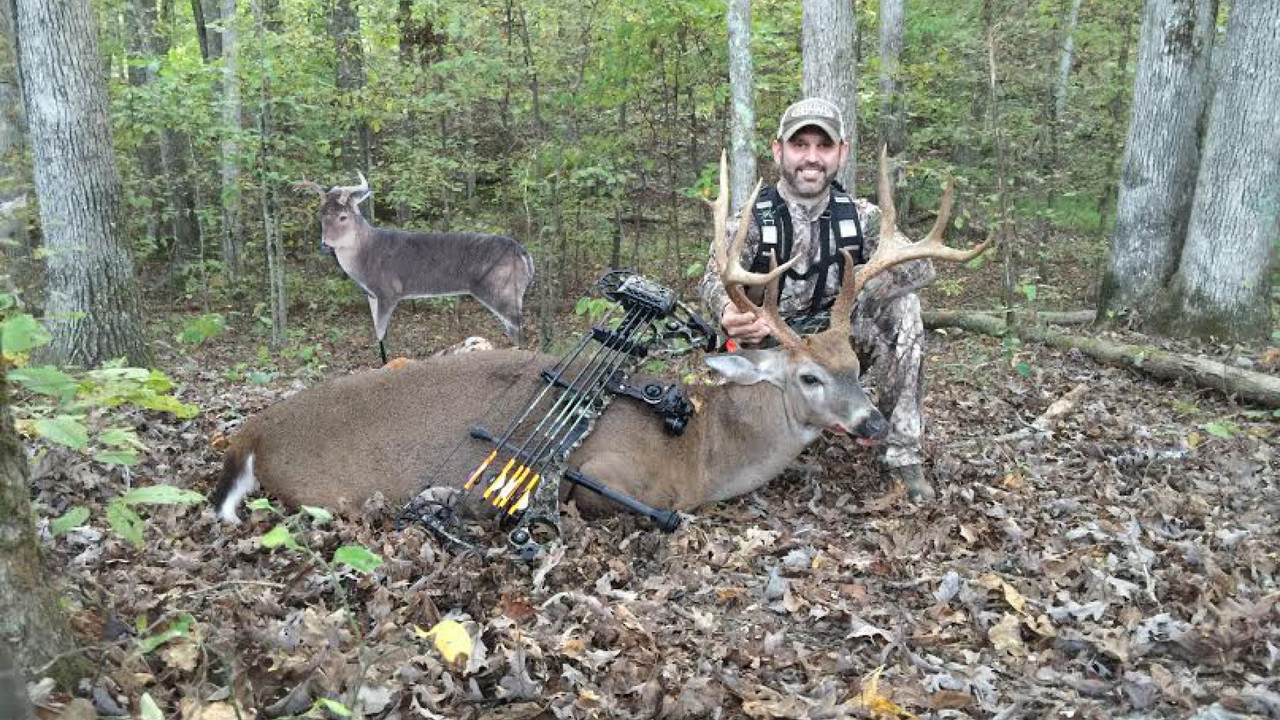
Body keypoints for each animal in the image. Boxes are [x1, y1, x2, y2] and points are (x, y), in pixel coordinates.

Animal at [295, 172, 535, 363]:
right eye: (320, 216)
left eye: (343, 216)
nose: (325, 245)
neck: (364, 256)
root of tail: (525, 255)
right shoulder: (371, 295)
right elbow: (378, 335)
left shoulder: (388, 291)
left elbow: (382, 331)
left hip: (501, 288)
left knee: (517, 328)